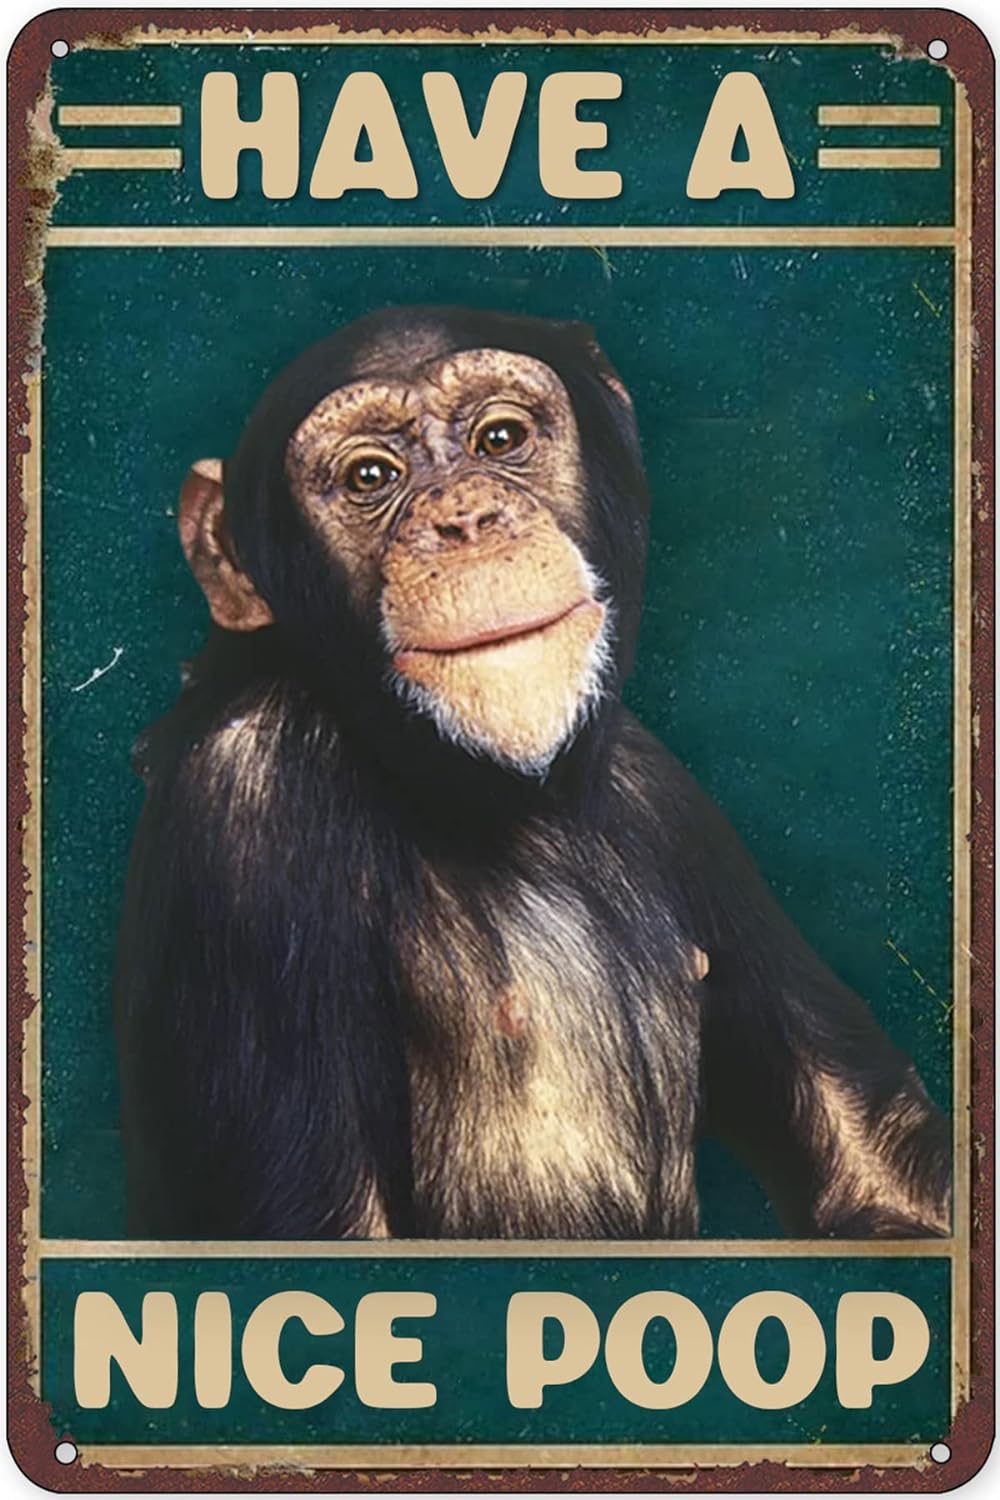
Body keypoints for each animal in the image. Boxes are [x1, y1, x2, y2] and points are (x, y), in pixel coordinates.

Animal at [114, 305, 951, 1241]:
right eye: (371, 475)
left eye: (501, 437)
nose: (467, 518)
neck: (505, 804)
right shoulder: (248, 811)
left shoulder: (663, 788)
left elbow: (867, 1158)